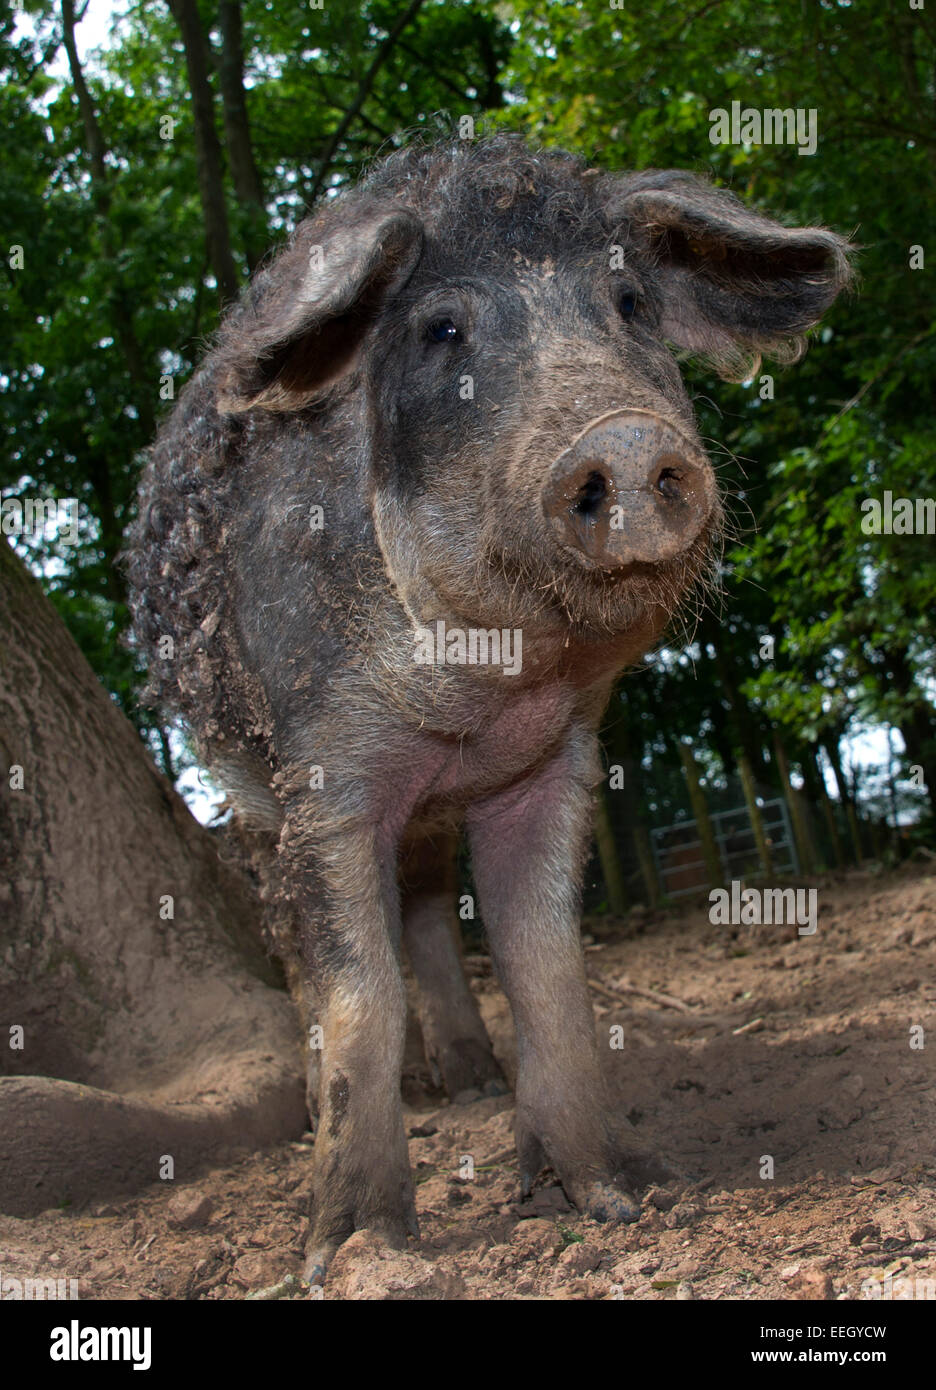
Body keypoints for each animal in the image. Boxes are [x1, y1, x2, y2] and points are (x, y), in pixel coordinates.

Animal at [126, 134, 852, 1280]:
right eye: (442, 330)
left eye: (630, 303)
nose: (625, 442)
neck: (480, 692)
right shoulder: (322, 772)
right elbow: (359, 993)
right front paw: (349, 1255)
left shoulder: (556, 760)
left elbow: (546, 965)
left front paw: (629, 1194)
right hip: (243, 806)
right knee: (307, 957)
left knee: (429, 910)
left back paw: (471, 1085)